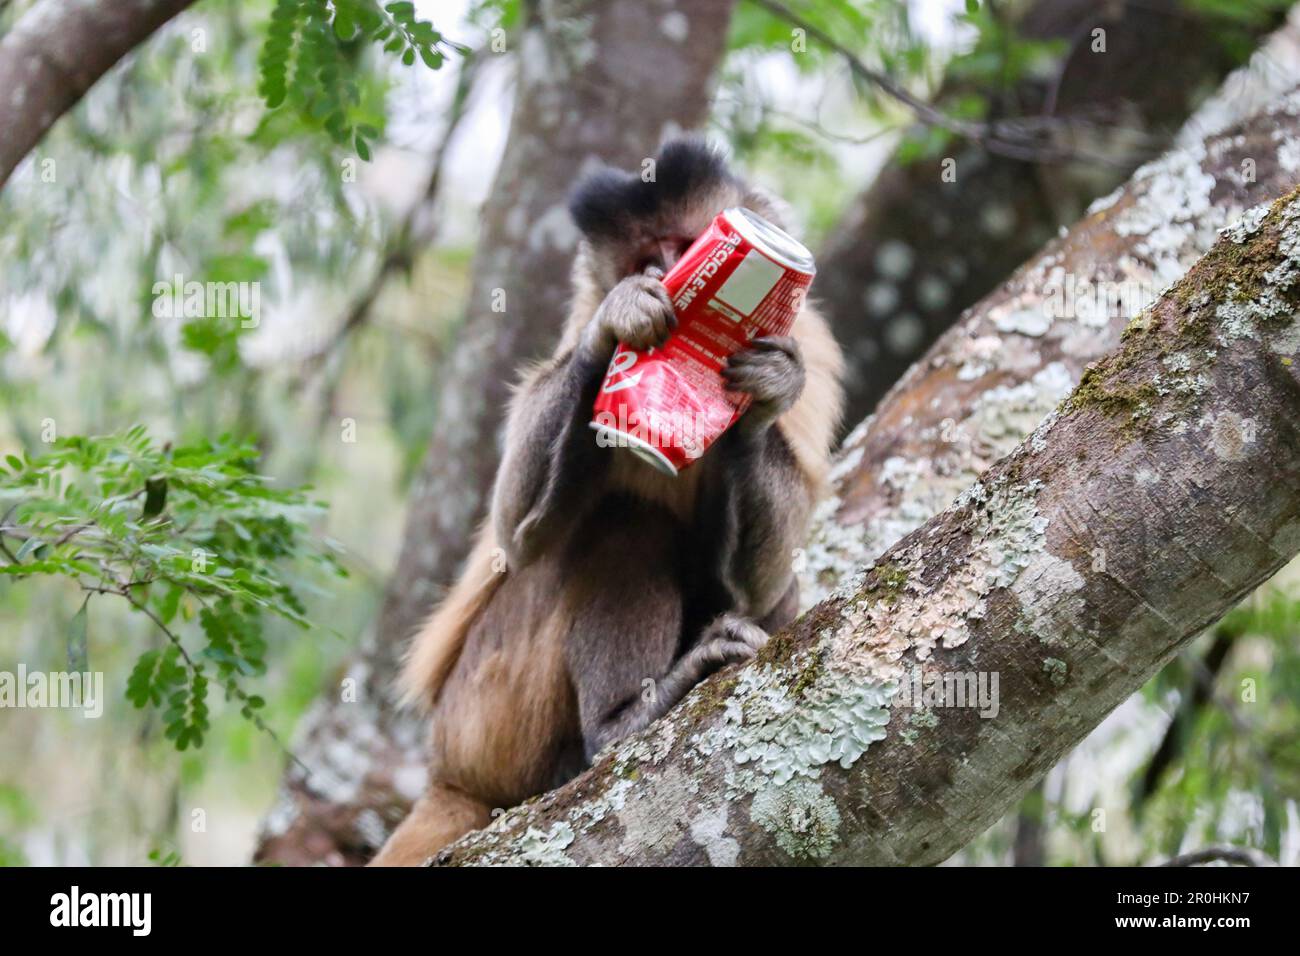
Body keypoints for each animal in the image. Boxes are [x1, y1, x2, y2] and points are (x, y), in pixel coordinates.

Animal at [370, 138, 844, 866]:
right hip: (485, 709)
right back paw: (623, 723)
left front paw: (762, 394)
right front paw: (614, 330)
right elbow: (518, 534)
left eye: (682, 245)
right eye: (644, 259)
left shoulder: (812, 344)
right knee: (620, 522)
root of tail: (446, 772)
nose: (667, 273)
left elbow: (758, 585)